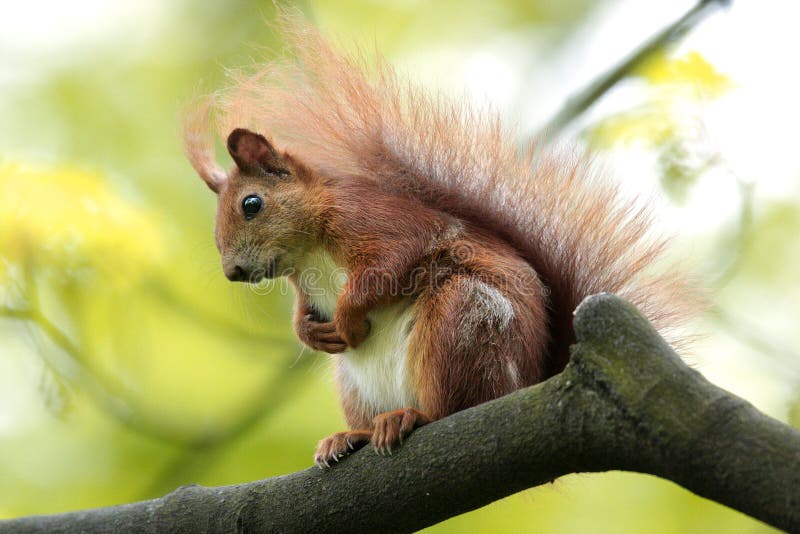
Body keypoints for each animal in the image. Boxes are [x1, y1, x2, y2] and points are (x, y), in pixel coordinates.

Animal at [183, 12, 694, 468]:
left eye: (252, 204)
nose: (233, 272)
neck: (309, 253)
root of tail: (525, 385)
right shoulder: (302, 283)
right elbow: (304, 312)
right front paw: (309, 332)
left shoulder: (377, 223)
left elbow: (389, 265)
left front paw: (347, 317)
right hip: (356, 382)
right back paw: (350, 436)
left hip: (462, 322)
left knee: (451, 407)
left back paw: (410, 416)